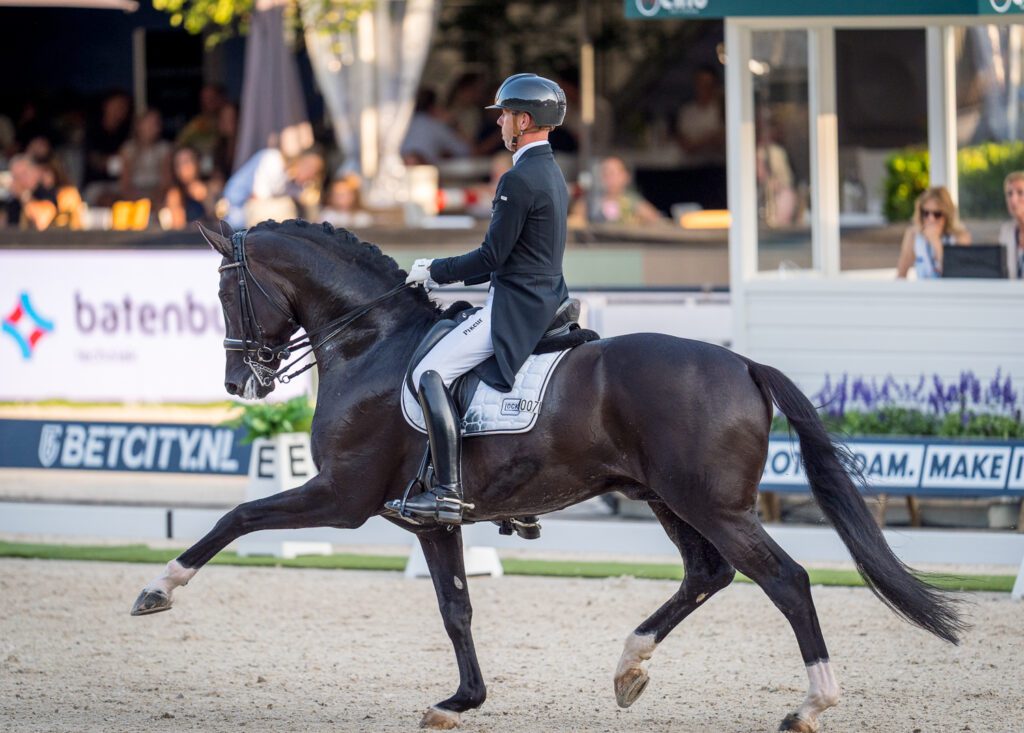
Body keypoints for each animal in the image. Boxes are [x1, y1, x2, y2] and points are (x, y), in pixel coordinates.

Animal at [131, 219, 964, 732]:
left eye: (225, 290)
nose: (240, 381)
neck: (371, 338)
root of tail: (744, 363)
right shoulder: (428, 518)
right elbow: (457, 608)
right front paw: (461, 701)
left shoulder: (340, 496)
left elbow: (235, 516)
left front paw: (157, 589)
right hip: (670, 499)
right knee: (708, 574)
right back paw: (630, 666)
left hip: (711, 504)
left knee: (783, 578)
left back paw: (810, 703)